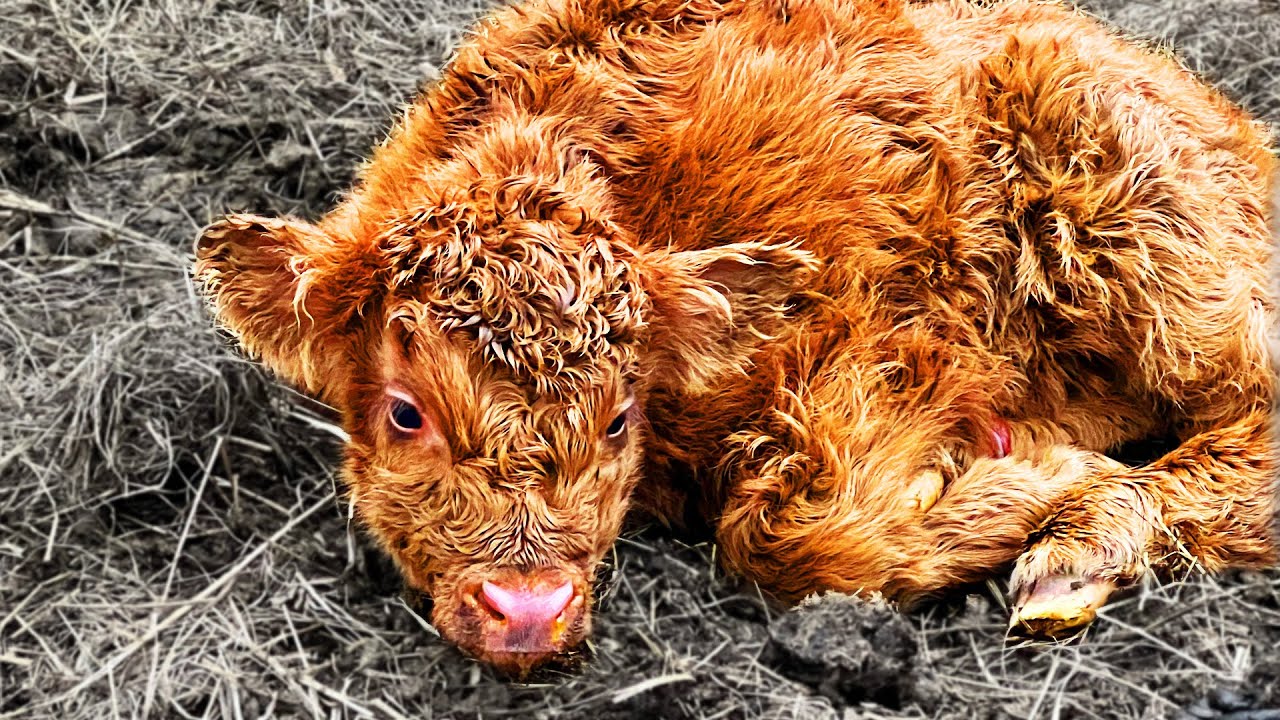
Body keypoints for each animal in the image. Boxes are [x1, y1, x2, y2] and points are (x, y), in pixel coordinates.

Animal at [193, 0, 1278, 676]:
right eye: (405, 414)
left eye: (619, 418)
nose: (527, 608)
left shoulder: (897, 342)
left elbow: (796, 535)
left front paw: (1034, 484)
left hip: (1130, 200)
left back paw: (1082, 543)